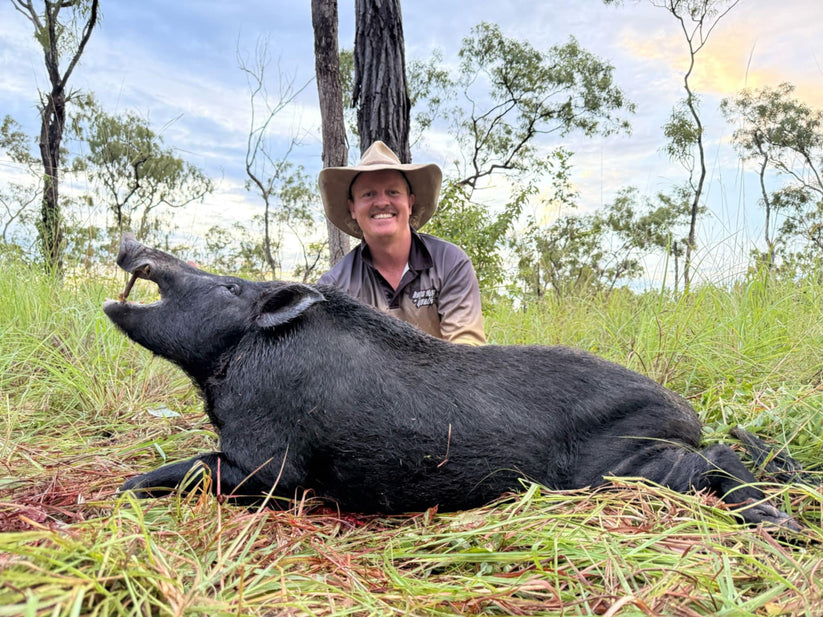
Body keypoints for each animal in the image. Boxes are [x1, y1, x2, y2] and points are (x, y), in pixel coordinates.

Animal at [103, 233, 800, 529]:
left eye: (229, 286)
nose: (132, 242)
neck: (233, 366)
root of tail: (686, 412)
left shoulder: (271, 465)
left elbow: (187, 470)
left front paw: (118, 493)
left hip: (626, 466)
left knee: (717, 458)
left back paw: (780, 524)